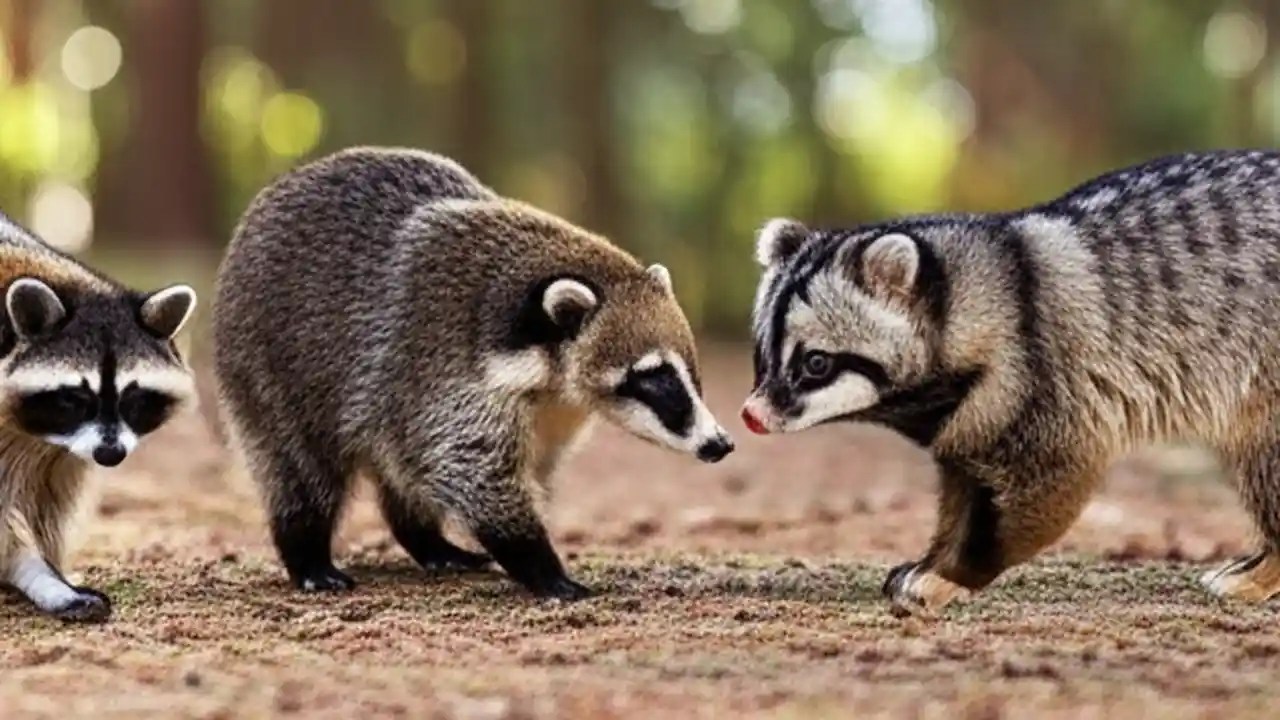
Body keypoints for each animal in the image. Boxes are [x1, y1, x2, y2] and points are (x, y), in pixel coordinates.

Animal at [213, 147, 733, 600]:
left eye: (690, 372)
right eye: (653, 376)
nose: (720, 443)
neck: (552, 380)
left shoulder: (548, 414)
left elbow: (514, 469)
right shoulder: (435, 369)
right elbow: (471, 468)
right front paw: (539, 563)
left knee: (401, 473)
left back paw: (427, 540)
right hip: (267, 364)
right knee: (300, 467)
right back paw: (307, 553)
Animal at [742, 150, 1280, 614]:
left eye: (816, 363)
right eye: (761, 354)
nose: (751, 415)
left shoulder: (1047, 377)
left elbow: (1052, 481)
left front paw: (955, 572)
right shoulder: (967, 422)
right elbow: (963, 487)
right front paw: (936, 556)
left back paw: (1266, 565)